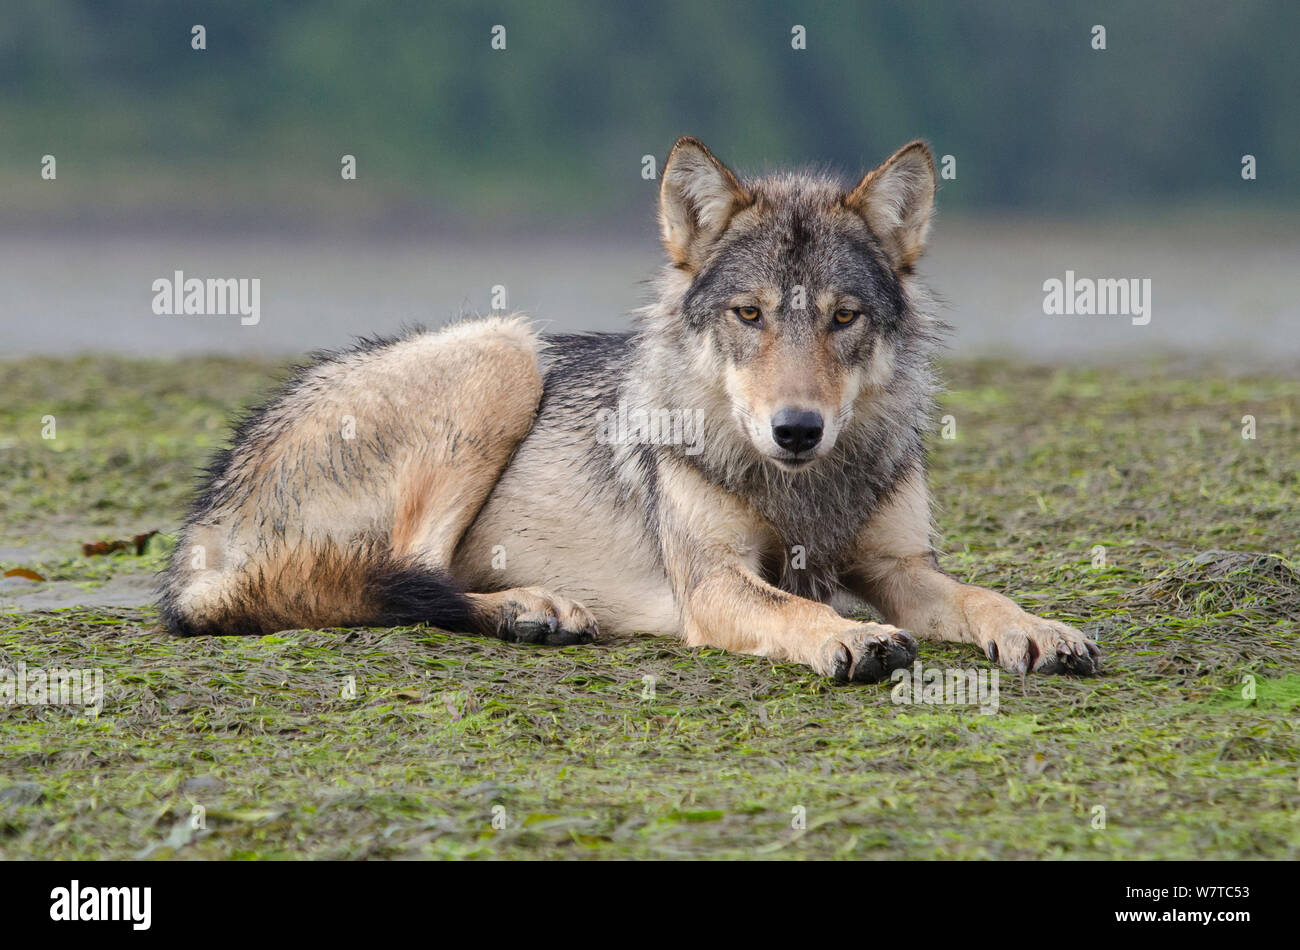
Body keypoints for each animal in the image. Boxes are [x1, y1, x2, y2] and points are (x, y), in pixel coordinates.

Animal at [160, 137, 1101, 682]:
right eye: (750, 315)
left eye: (843, 318)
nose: (797, 429)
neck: (801, 490)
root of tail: (202, 527)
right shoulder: (714, 582)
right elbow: (796, 609)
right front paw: (850, 636)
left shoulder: (901, 567)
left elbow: (981, 595)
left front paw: (1039, 627)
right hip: (503, 352)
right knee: (403, 578)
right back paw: (532, 609)